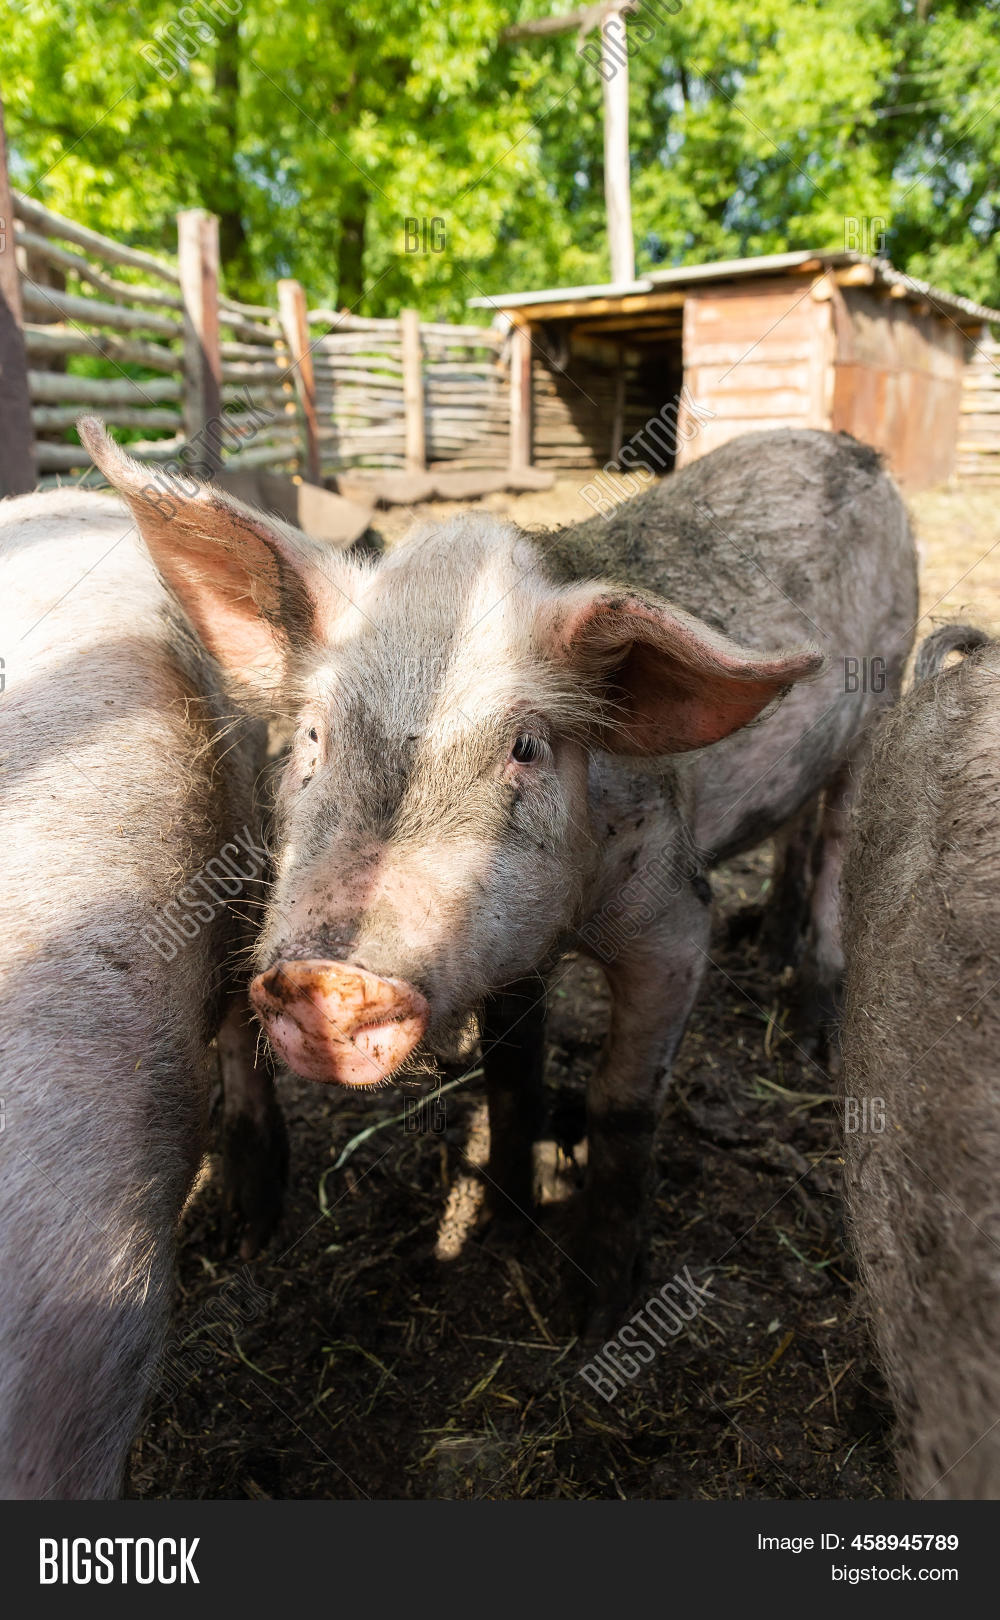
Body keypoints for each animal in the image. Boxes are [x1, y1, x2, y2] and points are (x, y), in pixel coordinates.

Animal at [80, 419, 917, 1333]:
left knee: (838, 839)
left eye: (526, 747)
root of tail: (854, 448)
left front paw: (596, 1310)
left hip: (887, 688)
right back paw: (765, 947)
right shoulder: (509, 950)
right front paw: (502, 1229)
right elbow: (513, 1073)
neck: (567, 928)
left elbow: (622, 1099)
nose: (322, 977)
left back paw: (810, 1034)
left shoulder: (674, 920)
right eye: (311, 736)